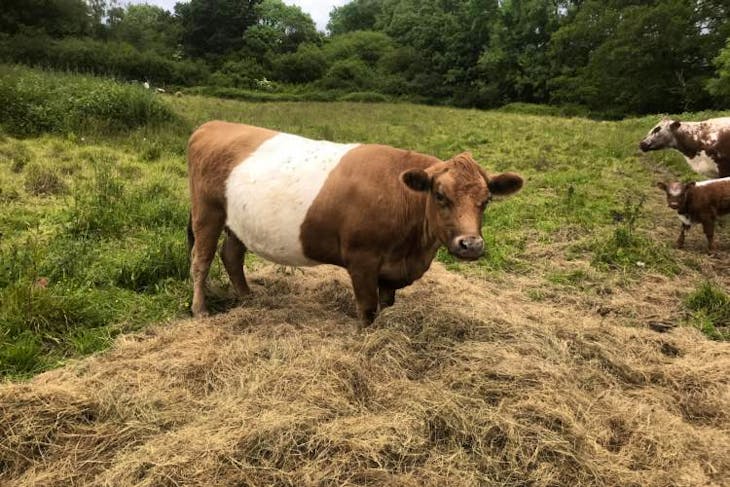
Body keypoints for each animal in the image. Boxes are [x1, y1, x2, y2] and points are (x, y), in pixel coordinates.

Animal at [187, 121, 523, 324]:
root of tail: (211, 125)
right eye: (440, 195)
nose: (471, 244)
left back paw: (248, 298)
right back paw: (200, 310)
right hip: (207, 212)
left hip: (238, 222)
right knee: (201, 261)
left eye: (487, 200)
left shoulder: (391, 269)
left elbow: (387, 304)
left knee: (231, 256)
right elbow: (367, 308)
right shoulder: (361, 260)